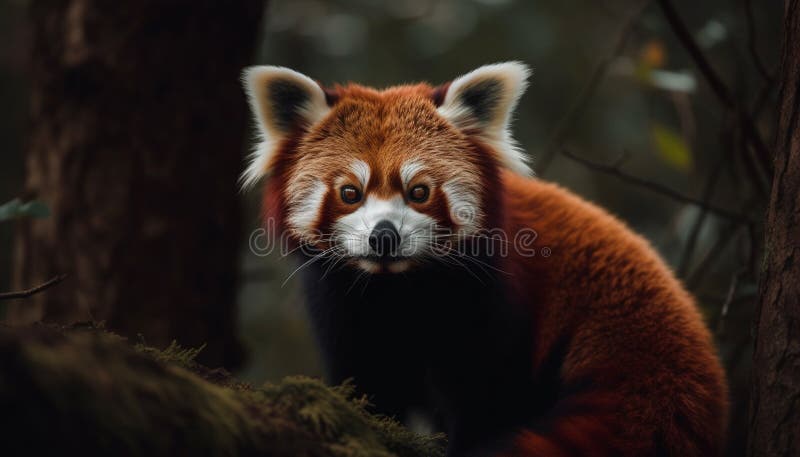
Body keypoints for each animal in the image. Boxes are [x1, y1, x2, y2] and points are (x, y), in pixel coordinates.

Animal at [241, 62, 728, 457]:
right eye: (349, 193)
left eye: (419, 191)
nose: (384, 236)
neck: (398, 286)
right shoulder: (342, 301)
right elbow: (370, 379)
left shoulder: (491, 298)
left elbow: (484, 392)